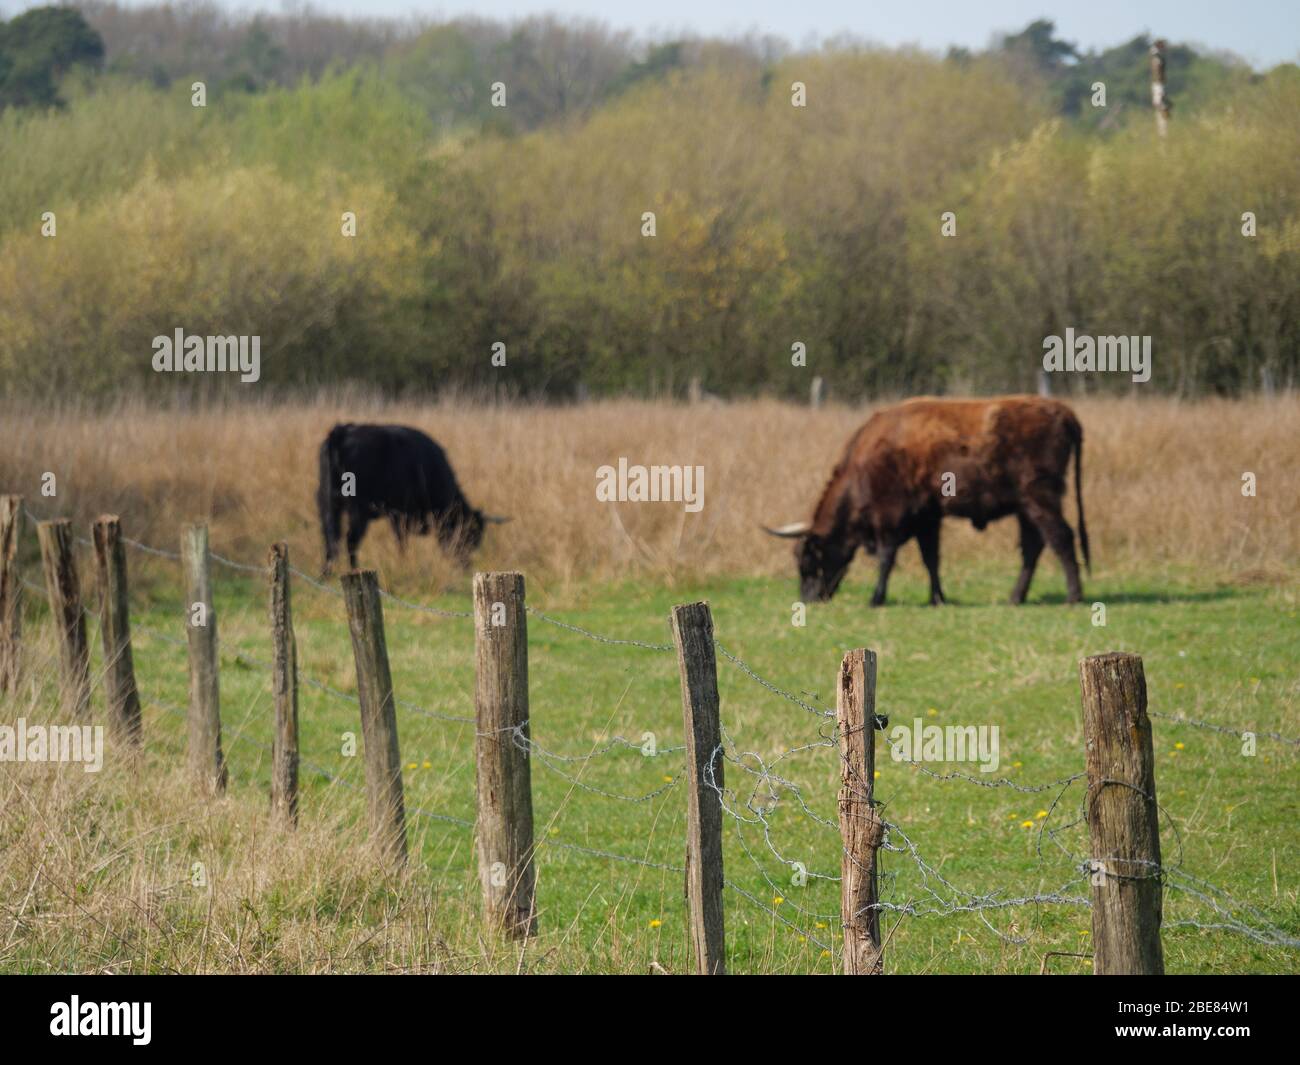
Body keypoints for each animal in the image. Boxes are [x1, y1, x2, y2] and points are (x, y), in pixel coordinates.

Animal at [317, 423, 508, 574]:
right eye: (468, 535)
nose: (466, 566)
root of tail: (342, 430)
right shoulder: (399, 514)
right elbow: (402, 542)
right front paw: (403, 564)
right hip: (358, 509)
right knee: (350, 539)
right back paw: (355, 569)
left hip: (326, 503)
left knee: (330, 537)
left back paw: (327, 574)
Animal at [763, 396, 1089, 606]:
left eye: (809, 559)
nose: (808, 598)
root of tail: (1061, 410)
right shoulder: (927, 518)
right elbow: (931, 558)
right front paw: (937, 598)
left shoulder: (890, 517)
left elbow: (887, 558)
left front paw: (876, 598)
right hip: (1026, 508)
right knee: (1033, 547)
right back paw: (1015, 597)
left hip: (1040, 500)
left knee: (1061, 538)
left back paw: (1073, 596)